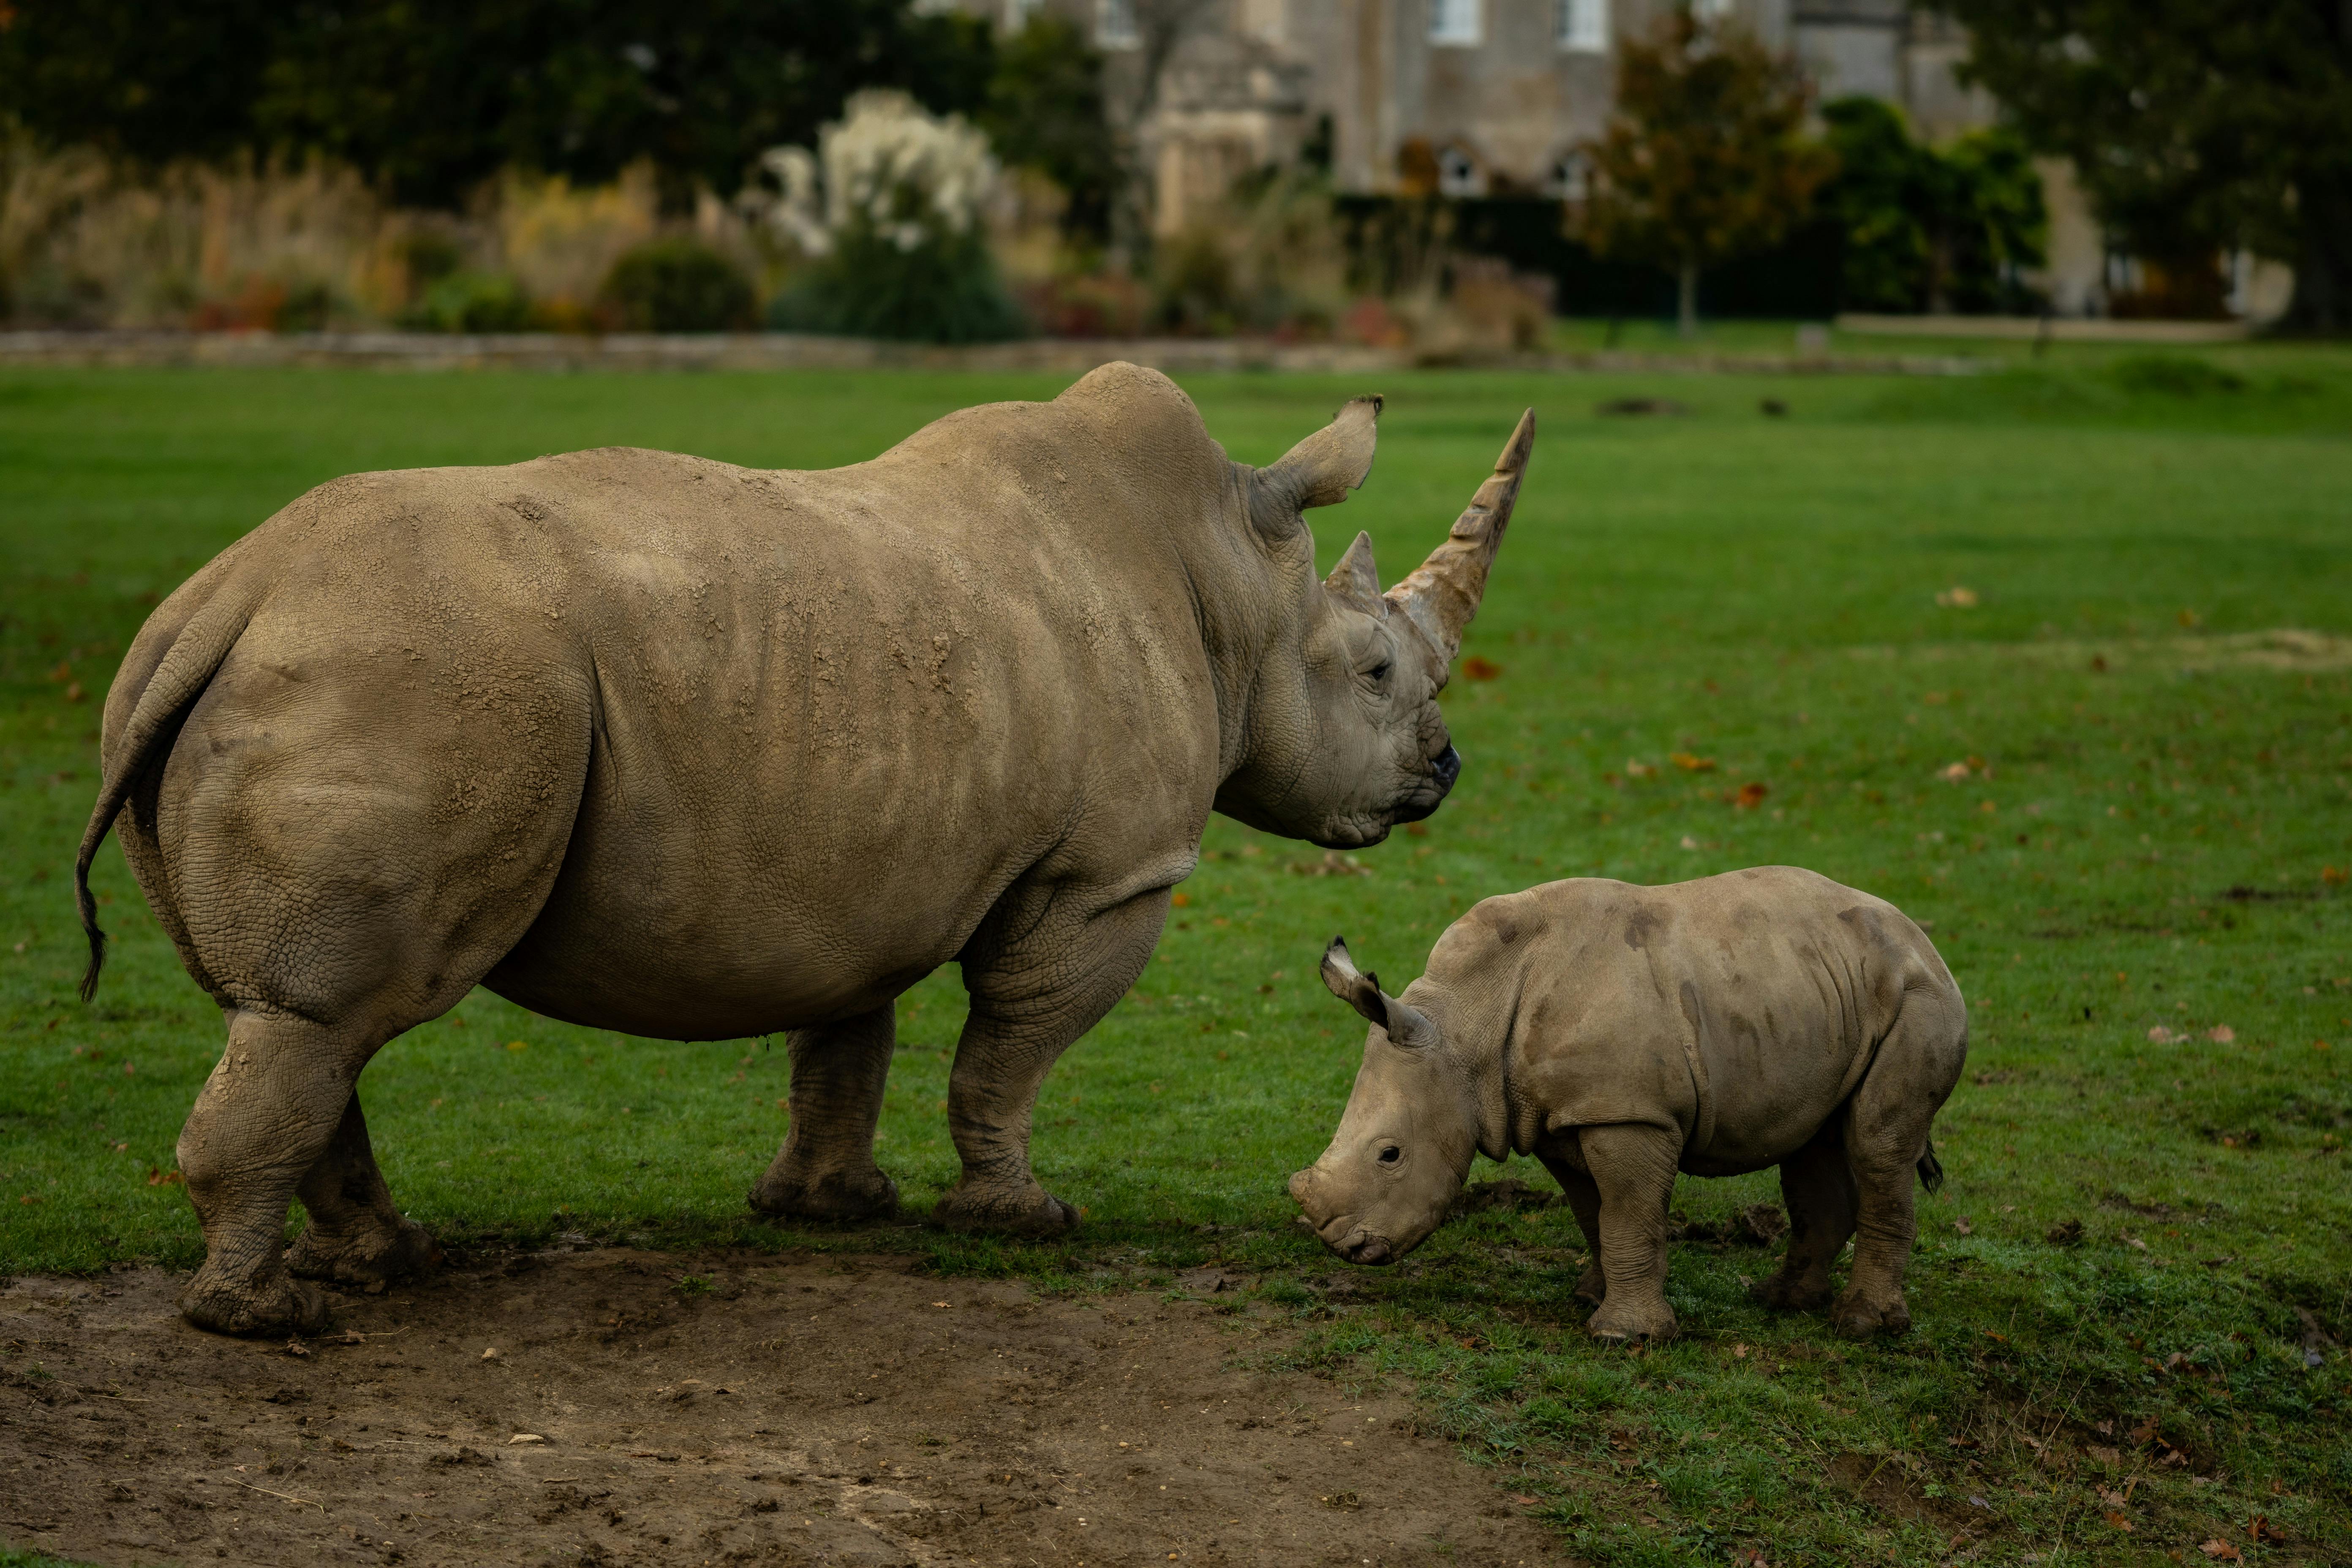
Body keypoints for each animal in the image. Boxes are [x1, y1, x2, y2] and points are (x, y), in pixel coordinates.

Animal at [72, 362, 1533, 1337]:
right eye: (1377, 669)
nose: (1446, 770)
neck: (1233, 581)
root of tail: (229, 596)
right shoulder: (1105, 876)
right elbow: (1009, 1051)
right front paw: (1021, 1221)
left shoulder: (864, 854)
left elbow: (845, 1041)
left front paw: (832, 1208)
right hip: (408, 677)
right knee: (324, 1013)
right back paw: (266, 1320)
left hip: (279, 671)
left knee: (298, 1016)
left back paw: (380, 1266)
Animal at [1289, 867, 1967, 1341]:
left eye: (1391, 1155)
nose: (1341, 1246)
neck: (1465, 1025)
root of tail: (1922, 940)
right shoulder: (1561, 1114)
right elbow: (1596, 1213)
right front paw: (1592, 1297)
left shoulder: (1628, 1112)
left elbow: (1628, 1213)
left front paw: (1624, 1336)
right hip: (1824, 993)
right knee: (1813, 1142)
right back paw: (1781, 1300)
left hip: (1918, 999)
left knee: (1879, 1142)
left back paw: (1861, 1326)